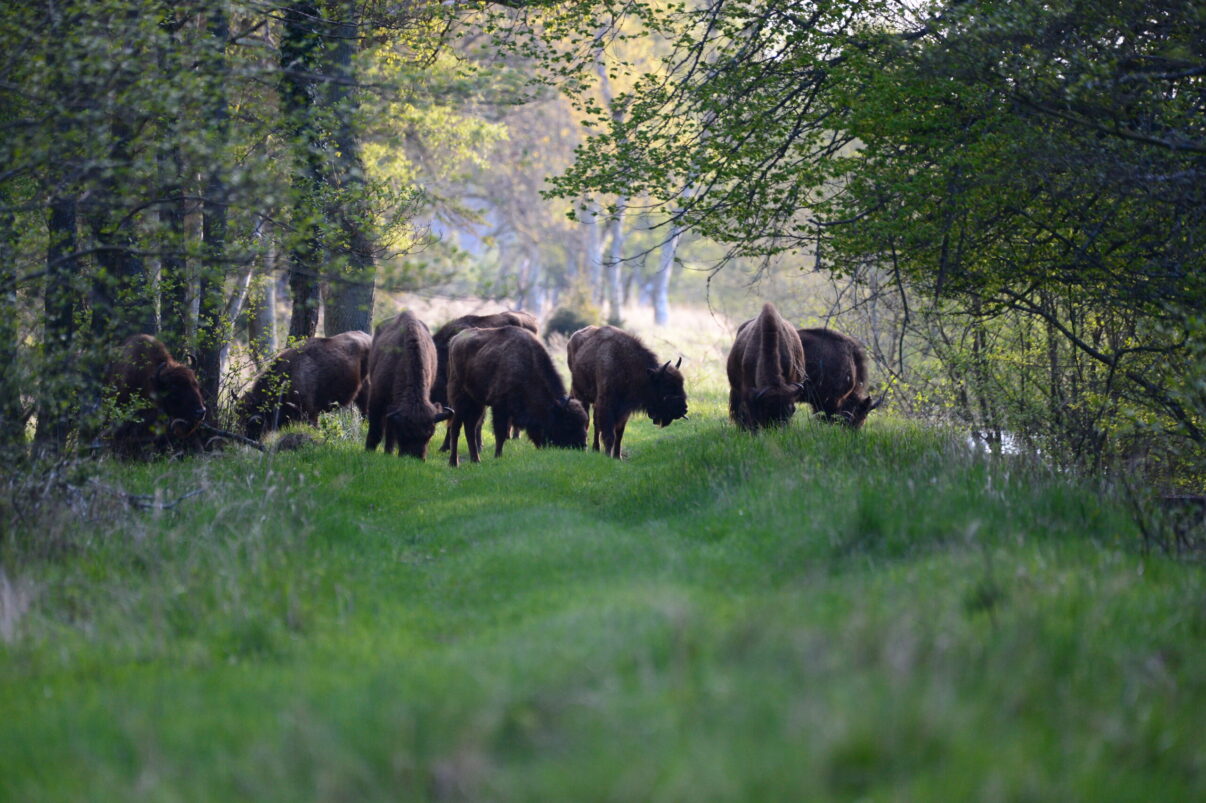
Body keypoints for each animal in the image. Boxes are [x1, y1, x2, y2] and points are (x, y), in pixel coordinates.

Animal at [364, 311, 452, 459]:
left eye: (430, 434)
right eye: (405, 433)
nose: (416, 457)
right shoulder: (377, 398)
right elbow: (376, 428)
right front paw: (369, 449)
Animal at [445, 326, 587, 466]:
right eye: (568, 422)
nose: (583, 445)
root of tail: (455, 340)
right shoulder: (500, 407)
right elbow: (500, 433)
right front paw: (498, 456)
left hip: (477, 403)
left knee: (470, 428)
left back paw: (476, 460)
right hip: (459, 400)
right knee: (455, 428)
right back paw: (454, 462)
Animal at [567, 325, 687, 458]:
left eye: (681, 384)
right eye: (667, 387)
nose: (683, 409)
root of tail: (572, 339)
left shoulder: (624, 409)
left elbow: (619, 433)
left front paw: (617, 457)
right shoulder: (607, 405)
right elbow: (609, 434)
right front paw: (608, 455)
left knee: (596, 424)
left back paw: (596, 449)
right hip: (581, 395)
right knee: (587, 420)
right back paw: (586, 449)